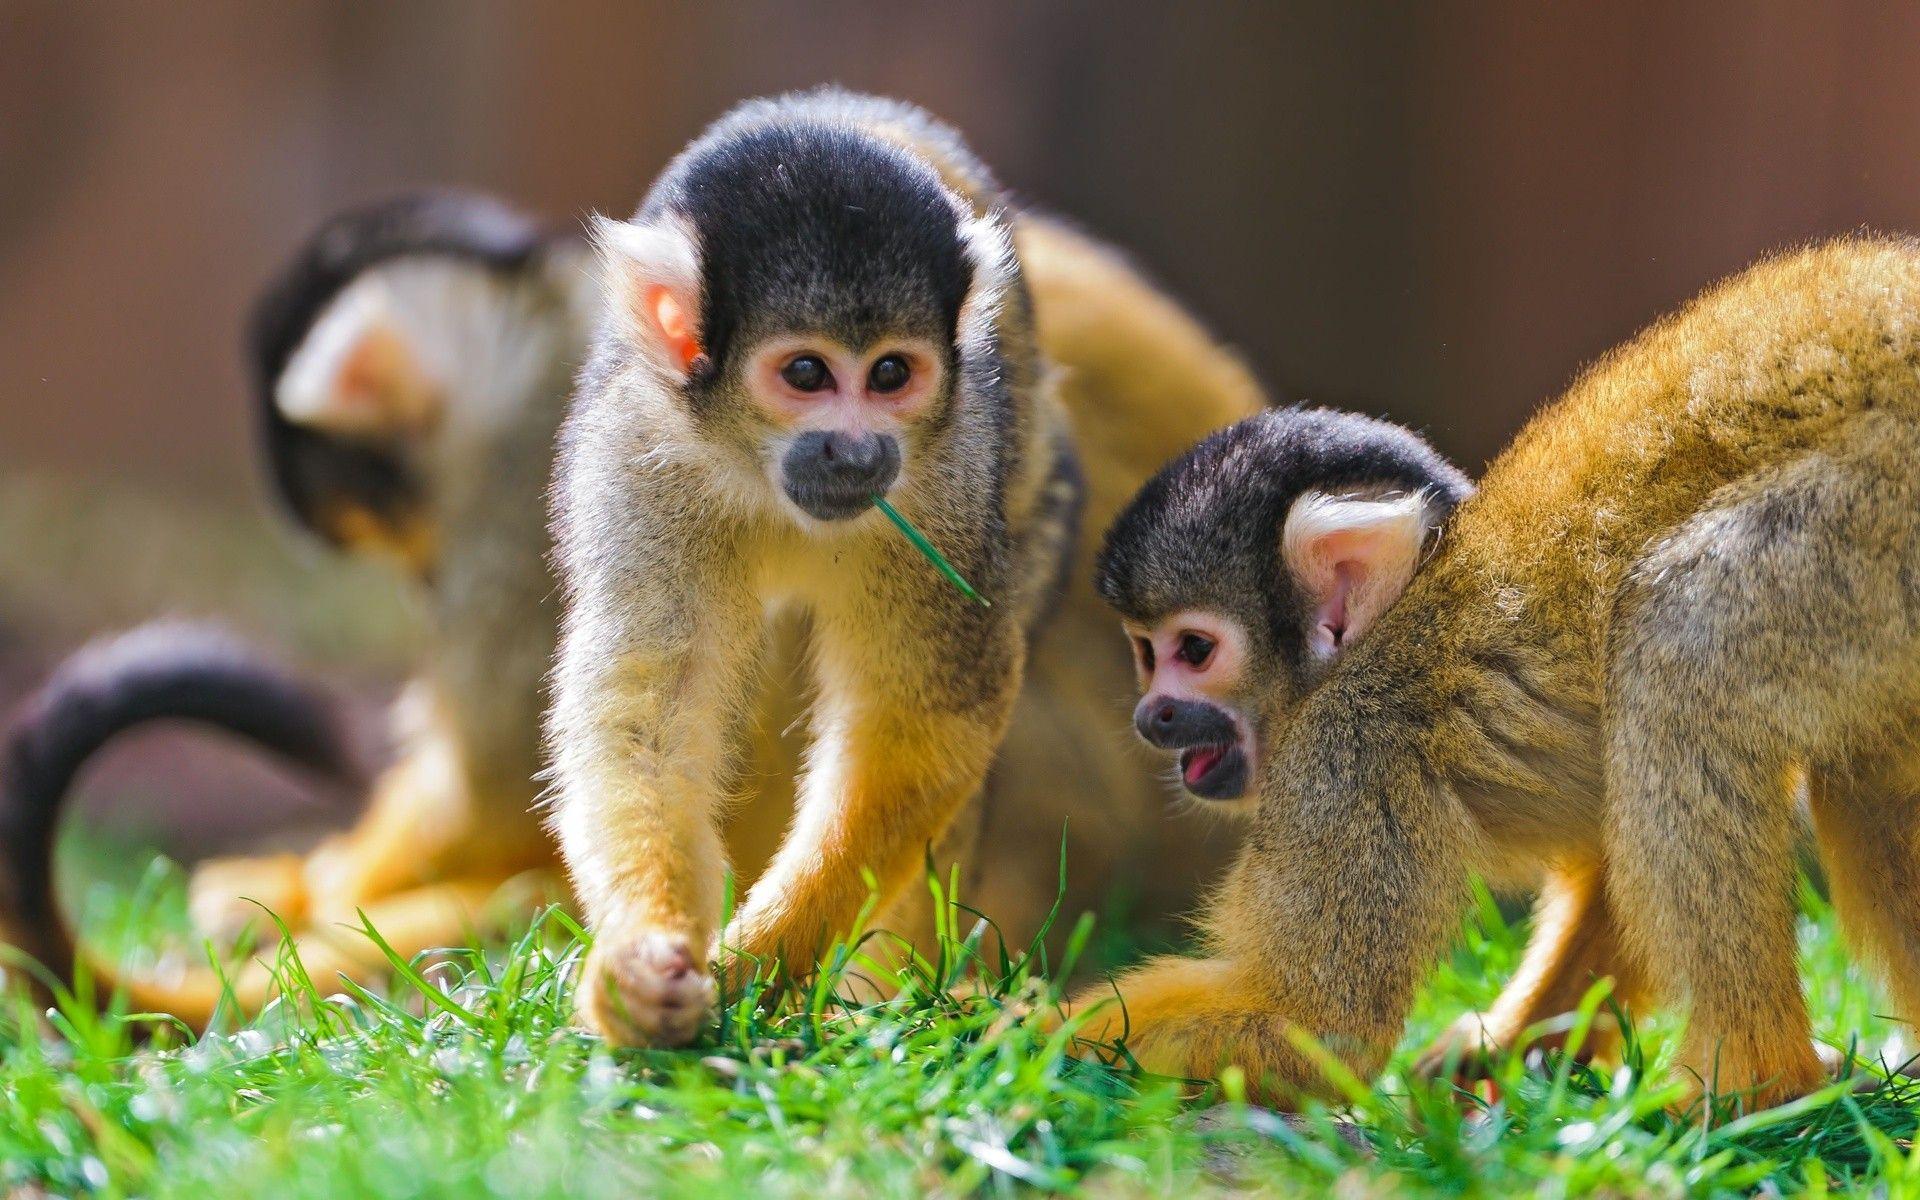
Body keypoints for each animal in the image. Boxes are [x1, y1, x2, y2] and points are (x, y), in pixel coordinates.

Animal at [546, 87, 1263, 1049]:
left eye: (891, 373)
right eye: (806, 372)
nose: (856, 452)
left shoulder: (950, 468)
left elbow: (930, 719)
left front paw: (754, 963)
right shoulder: (634, 447)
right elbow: (650, 710)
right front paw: (639, 967)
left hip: (1039, 503)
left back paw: (907, 994)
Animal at [1079, 235, 1920, 1110]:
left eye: (1193, 651)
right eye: (1144, 653)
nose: (1151, 714)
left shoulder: (1349, 754)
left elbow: (1314, 1024)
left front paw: (1039, 1035)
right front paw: (1508, 1044)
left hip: (1878, 508)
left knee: (1679, 642)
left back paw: (1752, 1083)